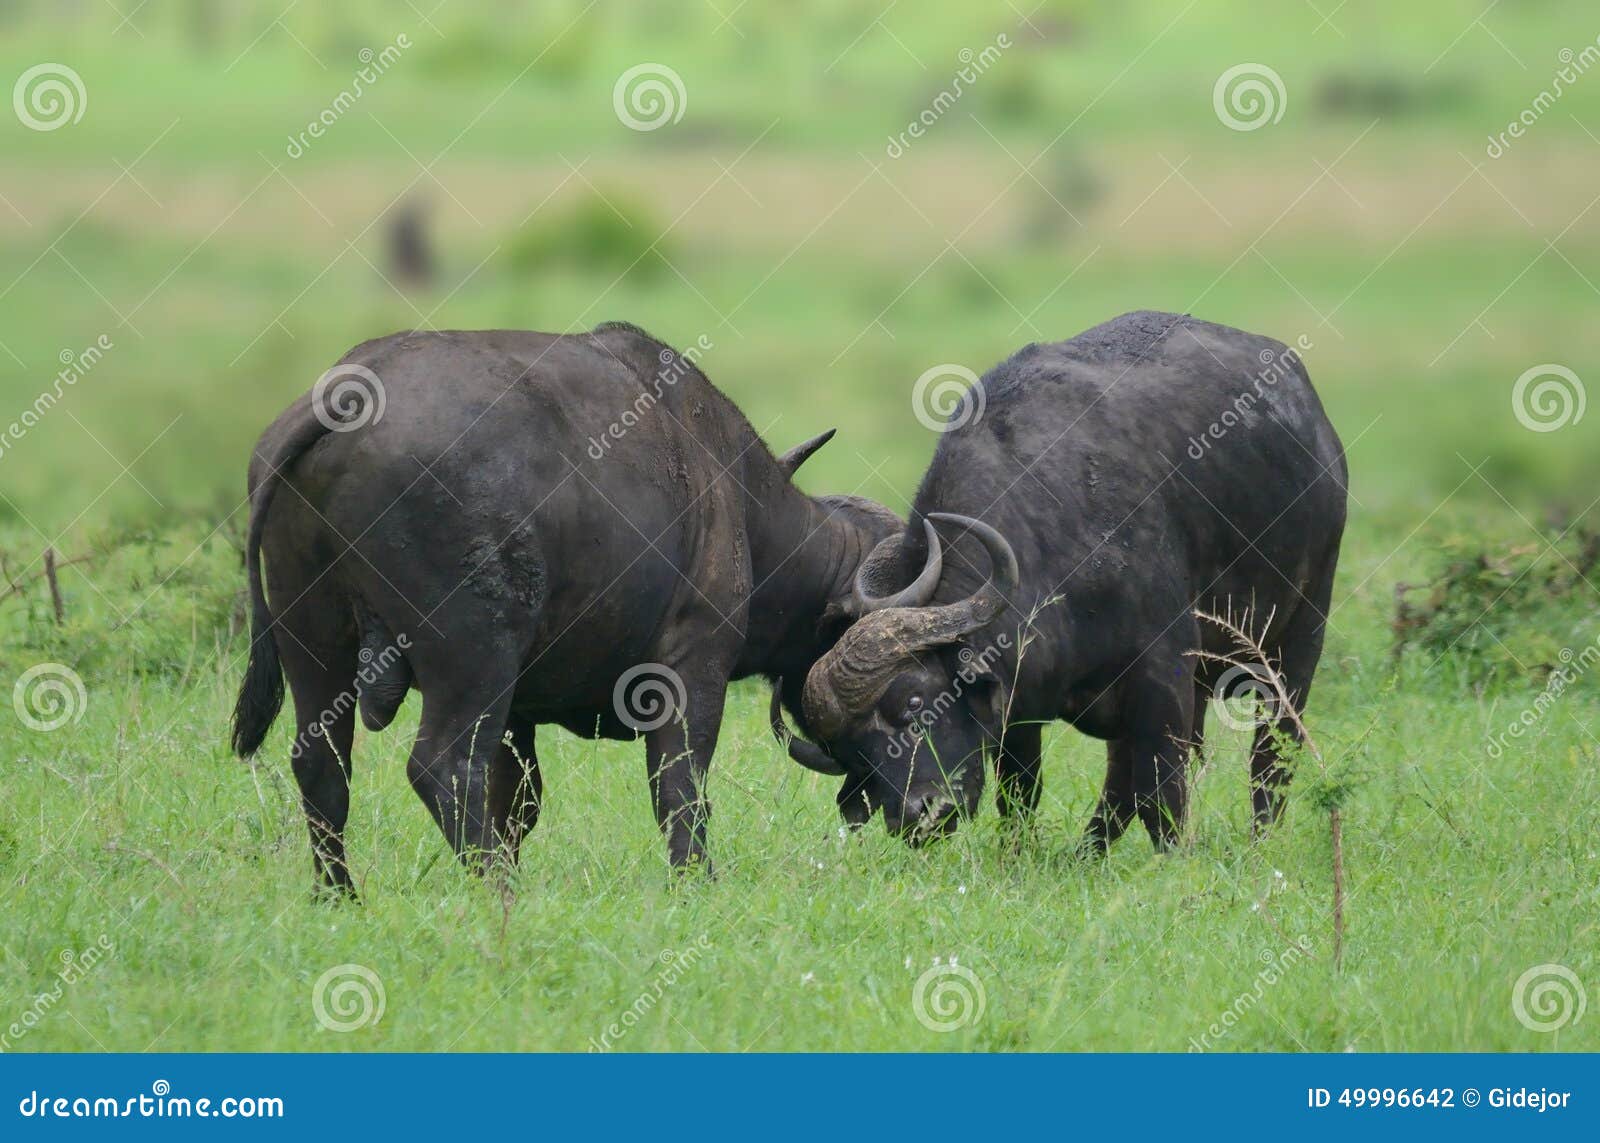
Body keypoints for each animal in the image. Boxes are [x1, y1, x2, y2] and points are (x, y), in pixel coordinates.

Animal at [232, 322, 900, 894]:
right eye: (911, 685)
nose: (910, 810)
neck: (735, 498)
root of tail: (345, 398)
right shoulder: (694, 666)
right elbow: (680, 788)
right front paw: (698, 884)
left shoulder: (518, 714)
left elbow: (519, 803)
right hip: (474, 661)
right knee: (443, 767)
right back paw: (494, 892)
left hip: (317, 647)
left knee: (321, 765)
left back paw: (340, 896)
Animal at [771, 311, 1348, 850]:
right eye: (850, 750)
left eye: (913, 704)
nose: (919, 815)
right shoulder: (1021, 711)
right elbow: (1022, 793)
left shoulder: (1164, 677)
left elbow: (1163, 794)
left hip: (1300, 635)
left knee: (1271, 756)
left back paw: (1260, 842)